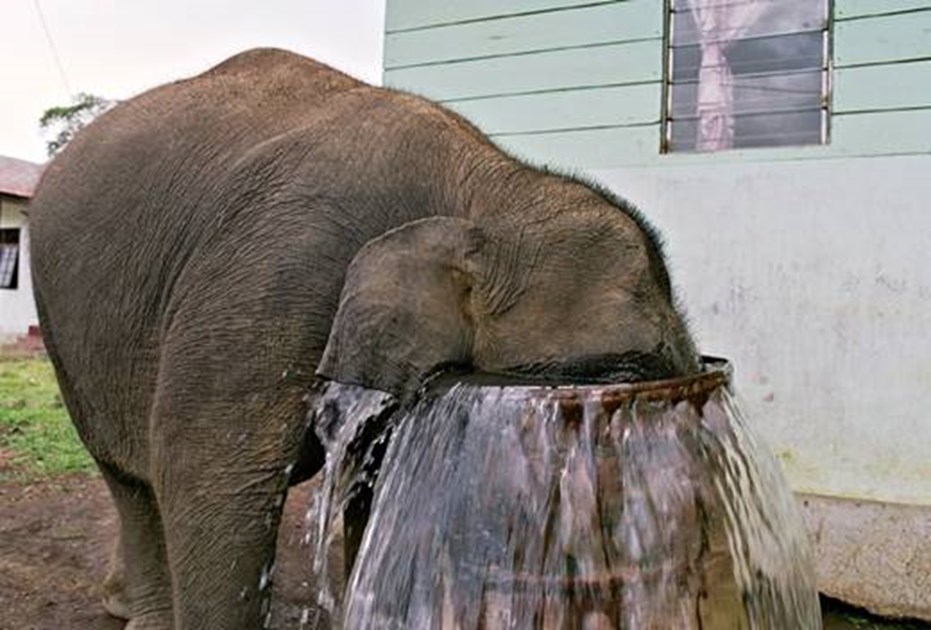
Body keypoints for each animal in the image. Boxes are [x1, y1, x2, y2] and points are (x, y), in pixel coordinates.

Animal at [29, 48, 699, 629]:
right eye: (617, 372)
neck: (488, 185)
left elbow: (373, 489)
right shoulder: (281, 264)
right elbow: (206, 466)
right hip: (66, 322)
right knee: (129, 473)